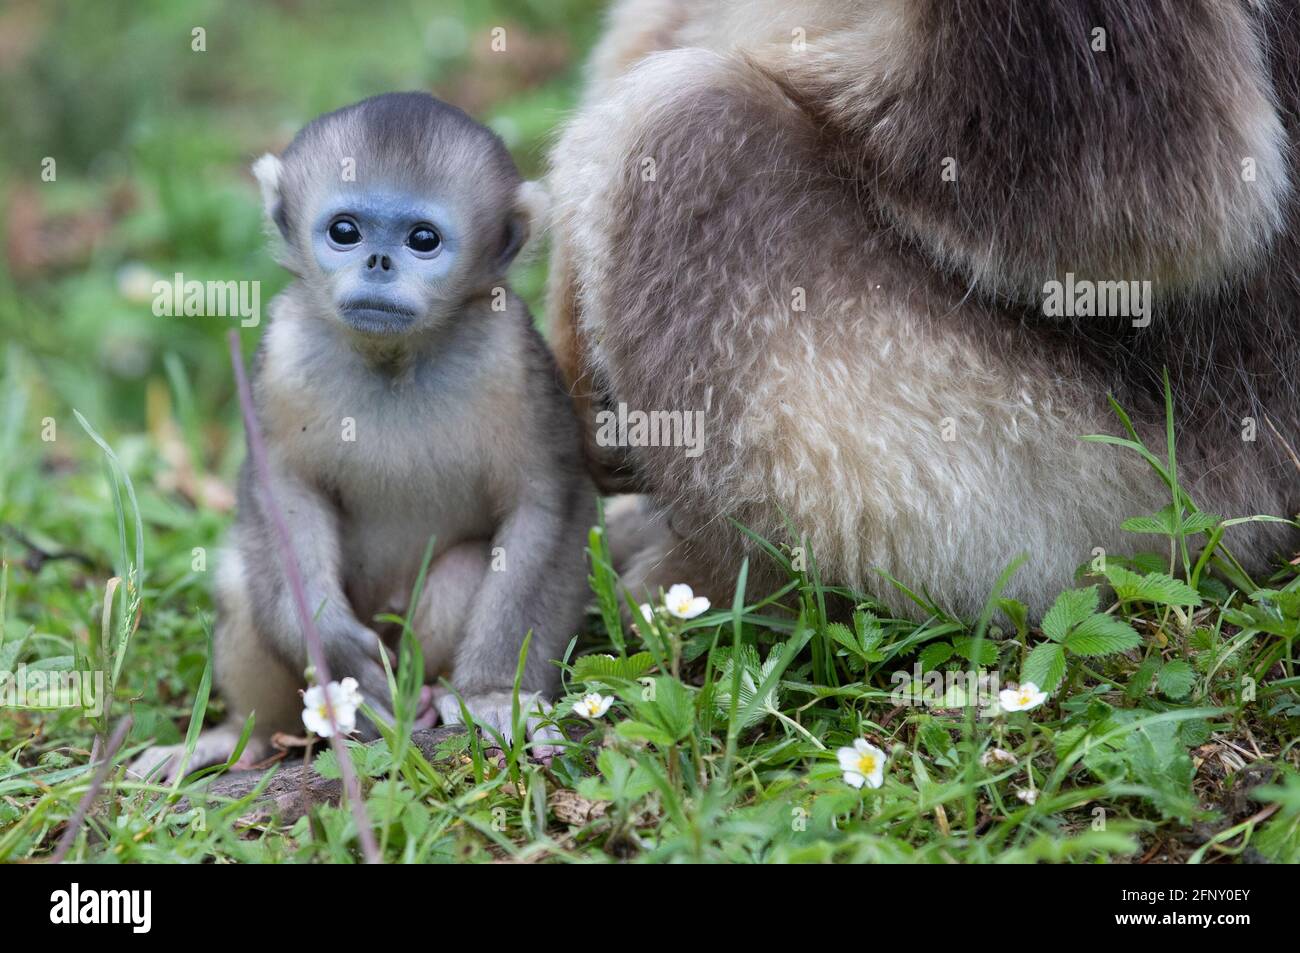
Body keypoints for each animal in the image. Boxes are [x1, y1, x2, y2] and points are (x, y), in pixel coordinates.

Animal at [135, 92, 595, 779]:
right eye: (345, 231)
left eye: (423, 239)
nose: (378, 263)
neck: (393, 361)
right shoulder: (285, 351)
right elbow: (281, 488)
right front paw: (335, 647)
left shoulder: (511, 353)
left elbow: (547, 502)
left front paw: (493, 694)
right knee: (247, 581)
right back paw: (239, 737)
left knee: (462, 568)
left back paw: (432, 701)